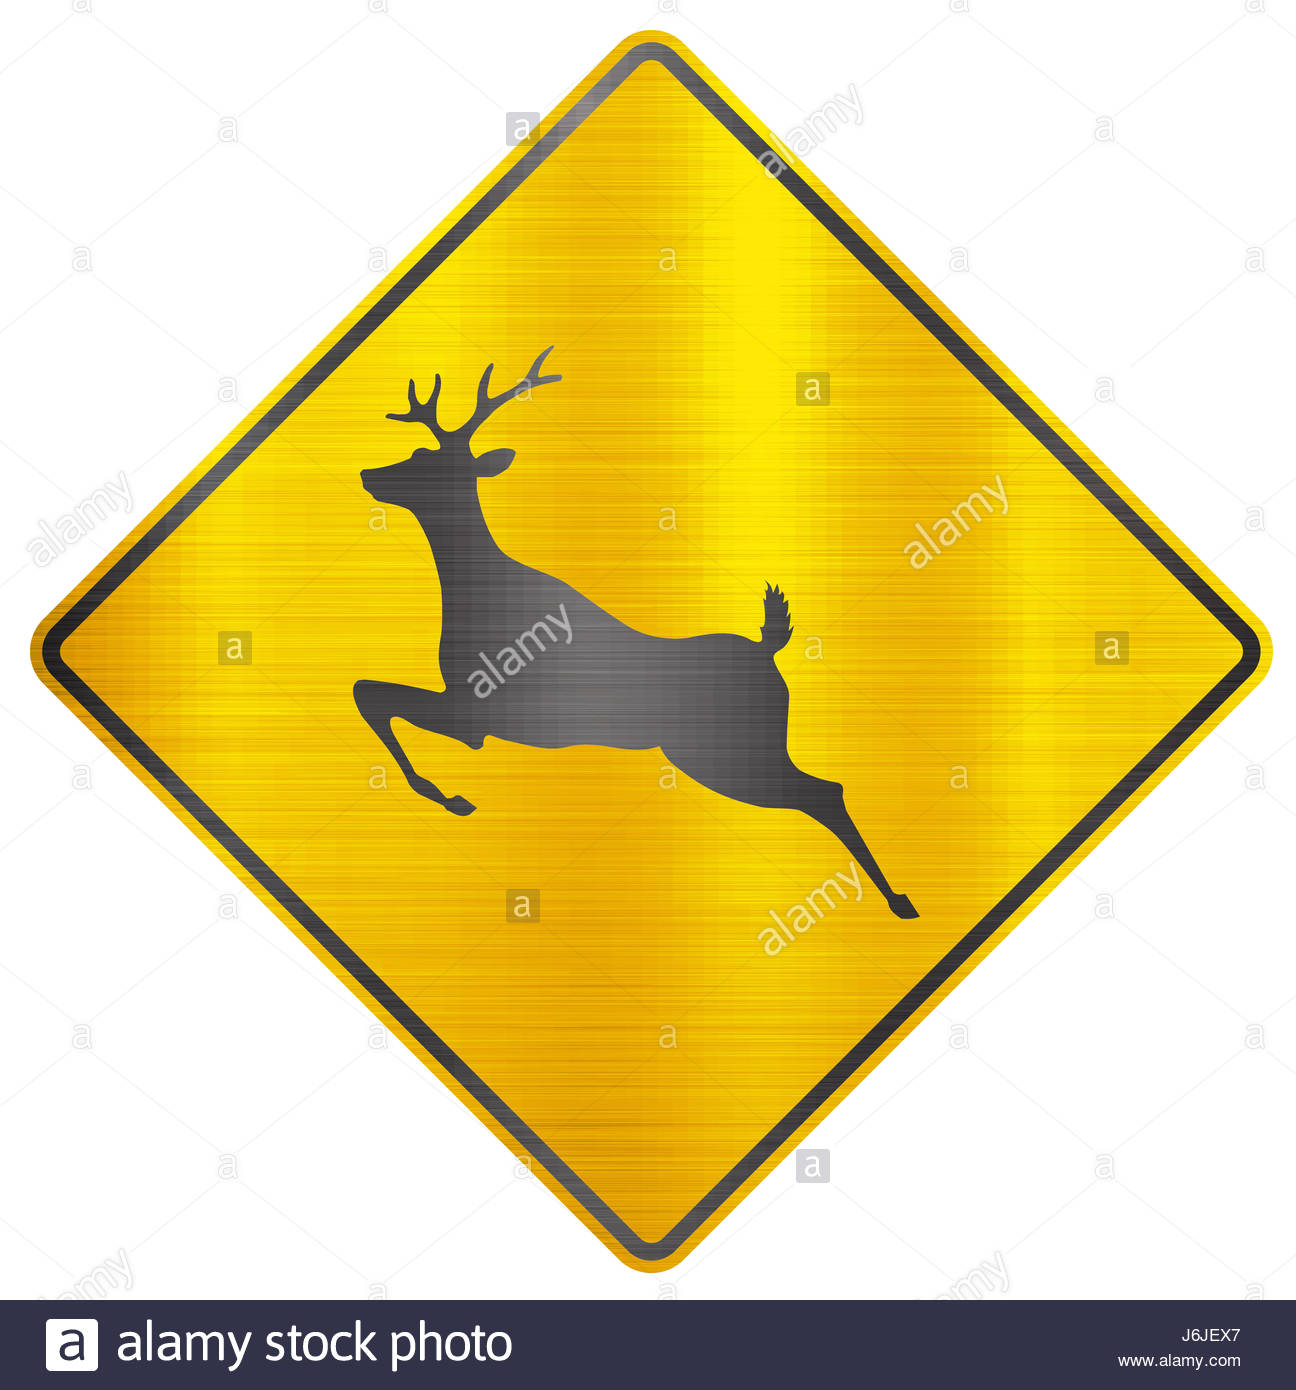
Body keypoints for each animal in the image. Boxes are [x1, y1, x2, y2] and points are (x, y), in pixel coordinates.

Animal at [353, 349, 919, 919]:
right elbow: (368, 693)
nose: (368, 473)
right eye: (417, 450)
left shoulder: (480, 711)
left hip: (728, 752)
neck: (478, 595)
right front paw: (450, 797)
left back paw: (898, 899)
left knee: (824, 792)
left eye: (430, 462)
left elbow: (371, 696)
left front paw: (450, 798)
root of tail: (768, 650)